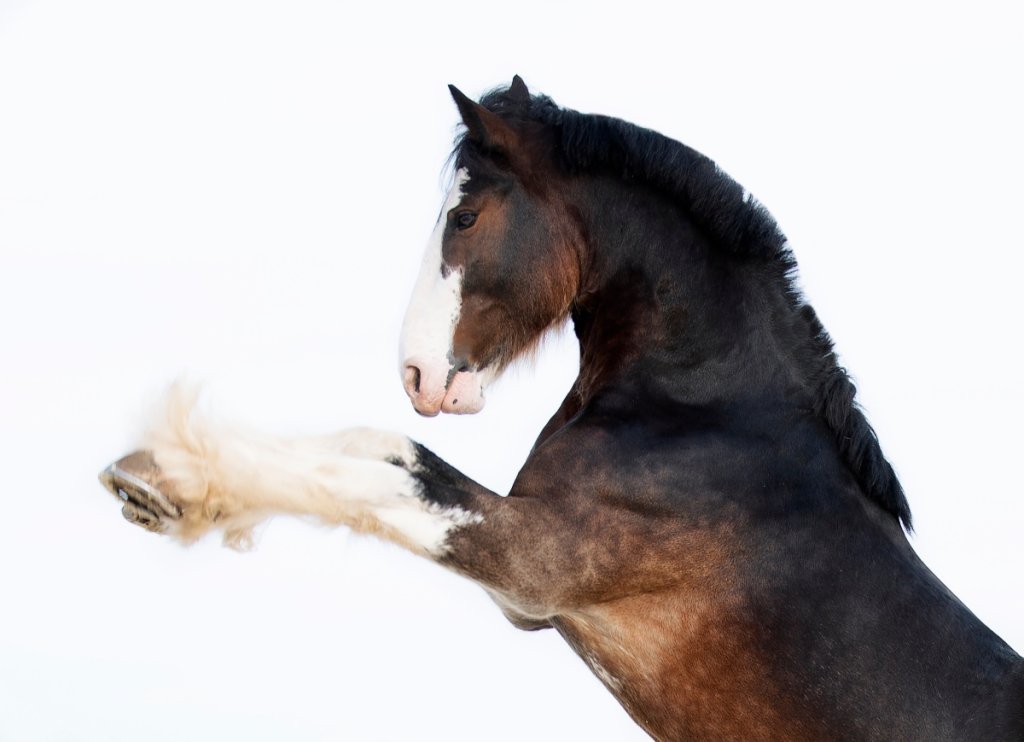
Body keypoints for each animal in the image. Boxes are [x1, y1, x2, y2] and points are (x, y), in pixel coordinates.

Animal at [99, 76, 1023, 741]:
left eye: (467, 215)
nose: (418, 373)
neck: (708, 414)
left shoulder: (532, 565)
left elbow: (390, 474)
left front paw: (164, 479)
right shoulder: (523, 595)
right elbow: (377, 453)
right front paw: (167, 482)